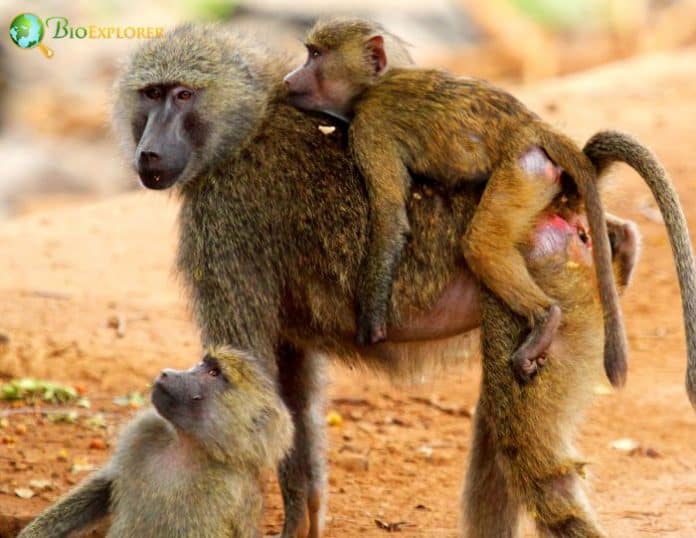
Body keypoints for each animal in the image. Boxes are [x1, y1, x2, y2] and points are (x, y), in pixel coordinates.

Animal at [18, 347, 293, 538]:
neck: (186, 446)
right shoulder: (142, 433)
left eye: (214, 373)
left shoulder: (224, 492)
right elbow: (105, 486)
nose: (167, 373)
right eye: (202, 364)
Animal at [283, 18, 625, 387]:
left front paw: (371, 318)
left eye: (316, 55)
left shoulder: (369, 129)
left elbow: (390, 220)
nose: (288, 80)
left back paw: (545, 319)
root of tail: (528, 124)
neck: (373, 86)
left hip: (524, 171)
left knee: (480, 245)